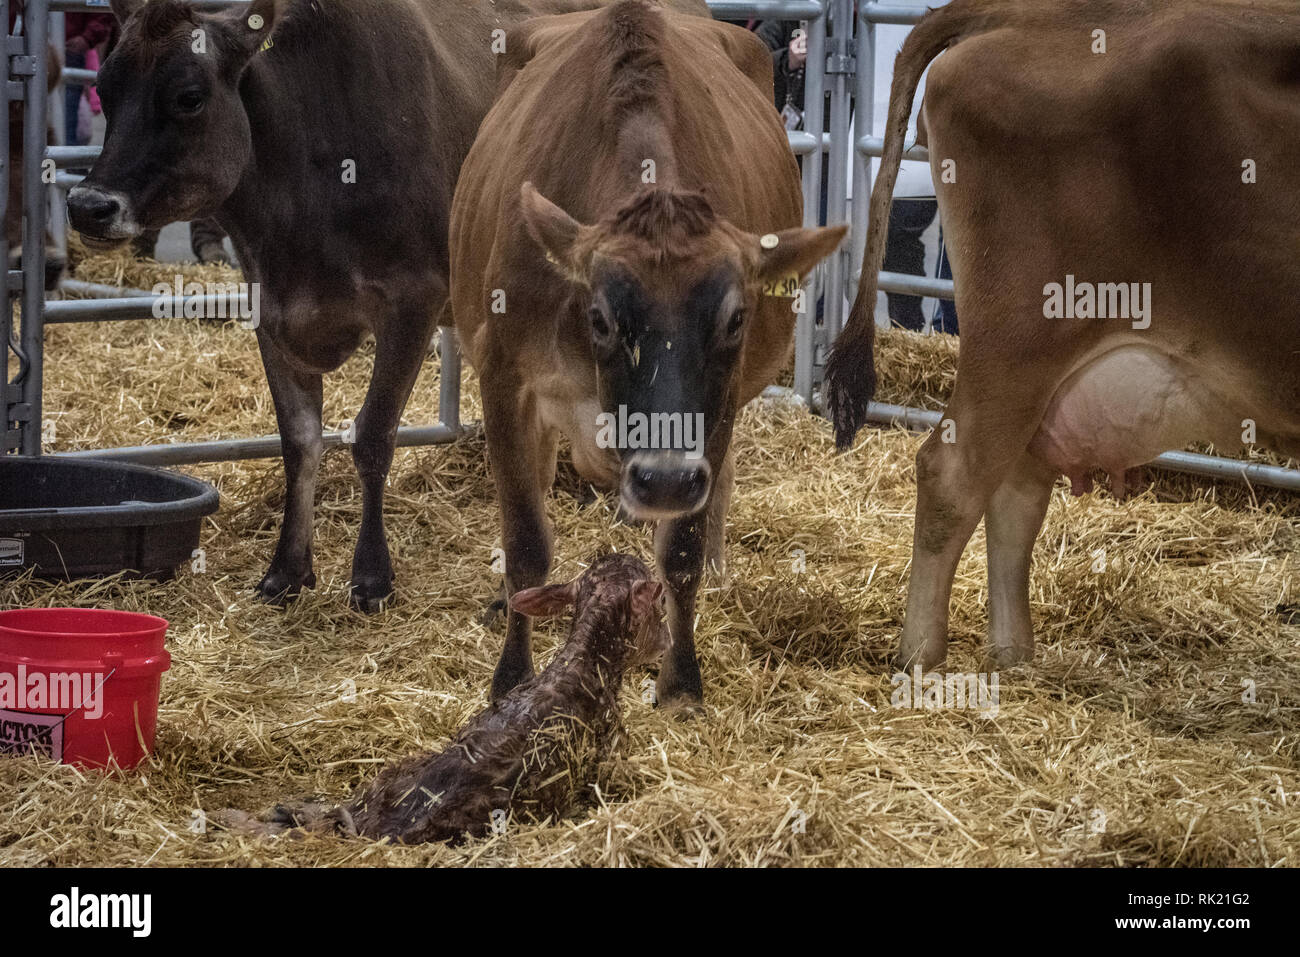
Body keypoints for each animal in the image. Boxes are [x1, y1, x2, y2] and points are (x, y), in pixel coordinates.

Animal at [64, 0, 654, 611]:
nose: (87, 205)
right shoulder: (269, 306)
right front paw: (287, 570)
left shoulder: (413, 300)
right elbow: (299, 440)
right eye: (106, 88)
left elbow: (371, 436)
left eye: (188, 96)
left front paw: (371, 577)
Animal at [451, 0, 847, 709]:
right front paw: (511, 677)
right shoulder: (504, 378)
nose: (661, 479)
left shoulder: (714, 411)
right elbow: (526, 542)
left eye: (736, 317)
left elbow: (679, 550)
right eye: (601, 317)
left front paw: (681, 679)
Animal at [824, 0, 1300, 670]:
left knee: (1016, 486)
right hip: (1022, 338)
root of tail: (1015, 11)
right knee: (952, 473)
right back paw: (921, 658)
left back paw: (1013, 653)